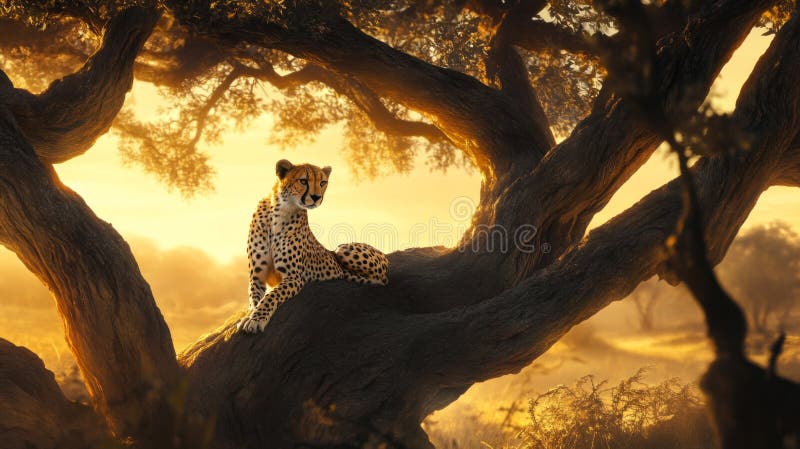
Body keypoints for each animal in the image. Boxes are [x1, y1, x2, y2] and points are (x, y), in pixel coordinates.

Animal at [237, 159, 389, 333]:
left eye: (322, 182)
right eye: (303, 181)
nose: (316, 197)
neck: (279, 211)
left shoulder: (294, 277)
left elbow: (270, 296)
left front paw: (256, 319)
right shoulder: (257, 276)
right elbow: (254, 299)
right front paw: (249, 316)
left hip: (343, 249)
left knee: (382, 279)